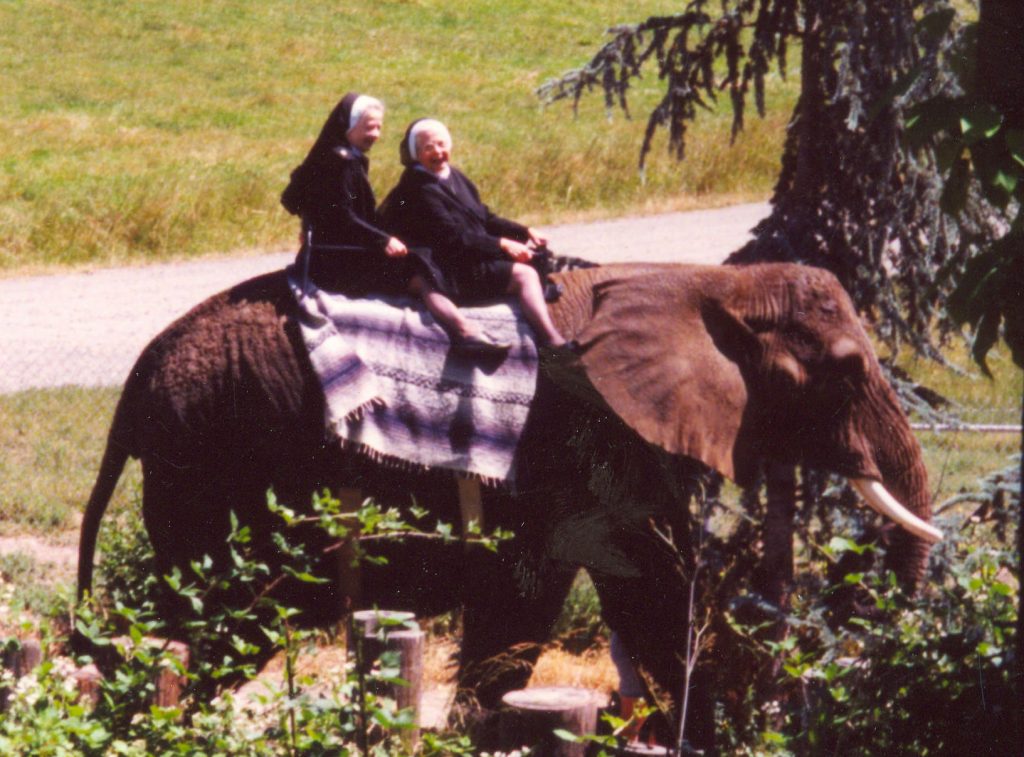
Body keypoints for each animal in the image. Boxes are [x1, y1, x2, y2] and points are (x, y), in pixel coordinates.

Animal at [76, 261, 939, 750]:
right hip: (217, 461)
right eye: (845, 368)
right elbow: (568, 596)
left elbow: (641, 596)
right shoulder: (592, 429)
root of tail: (138, 375)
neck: (710, 282)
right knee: (215, 621)